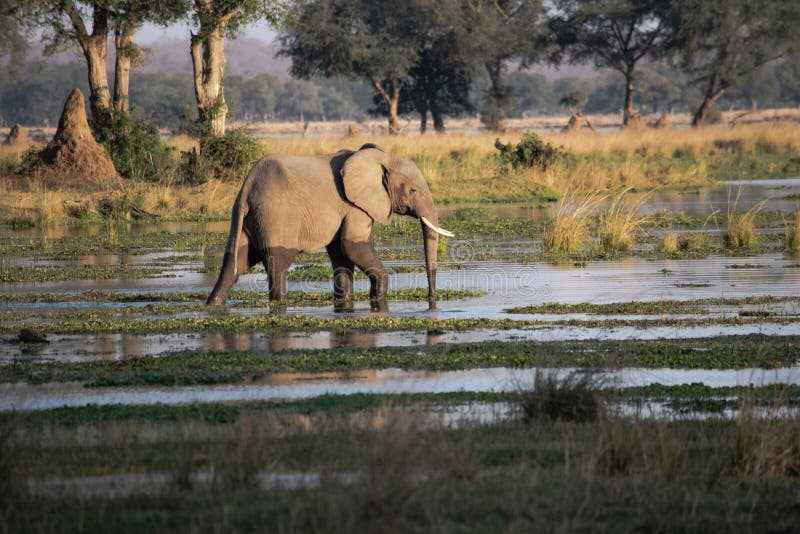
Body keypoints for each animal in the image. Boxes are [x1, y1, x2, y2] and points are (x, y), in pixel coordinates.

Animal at [205, 144, 454, 311]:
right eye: (413, 190)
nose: (431, 298)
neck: (380, 159)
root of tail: (247, 188)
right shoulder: (354, 205)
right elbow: (352, 246)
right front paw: (378, 297)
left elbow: (341, 253)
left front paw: (345, 301)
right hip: (275, 217)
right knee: (278, 265)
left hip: (248, 219)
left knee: (234, 263)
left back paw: (213, 304)